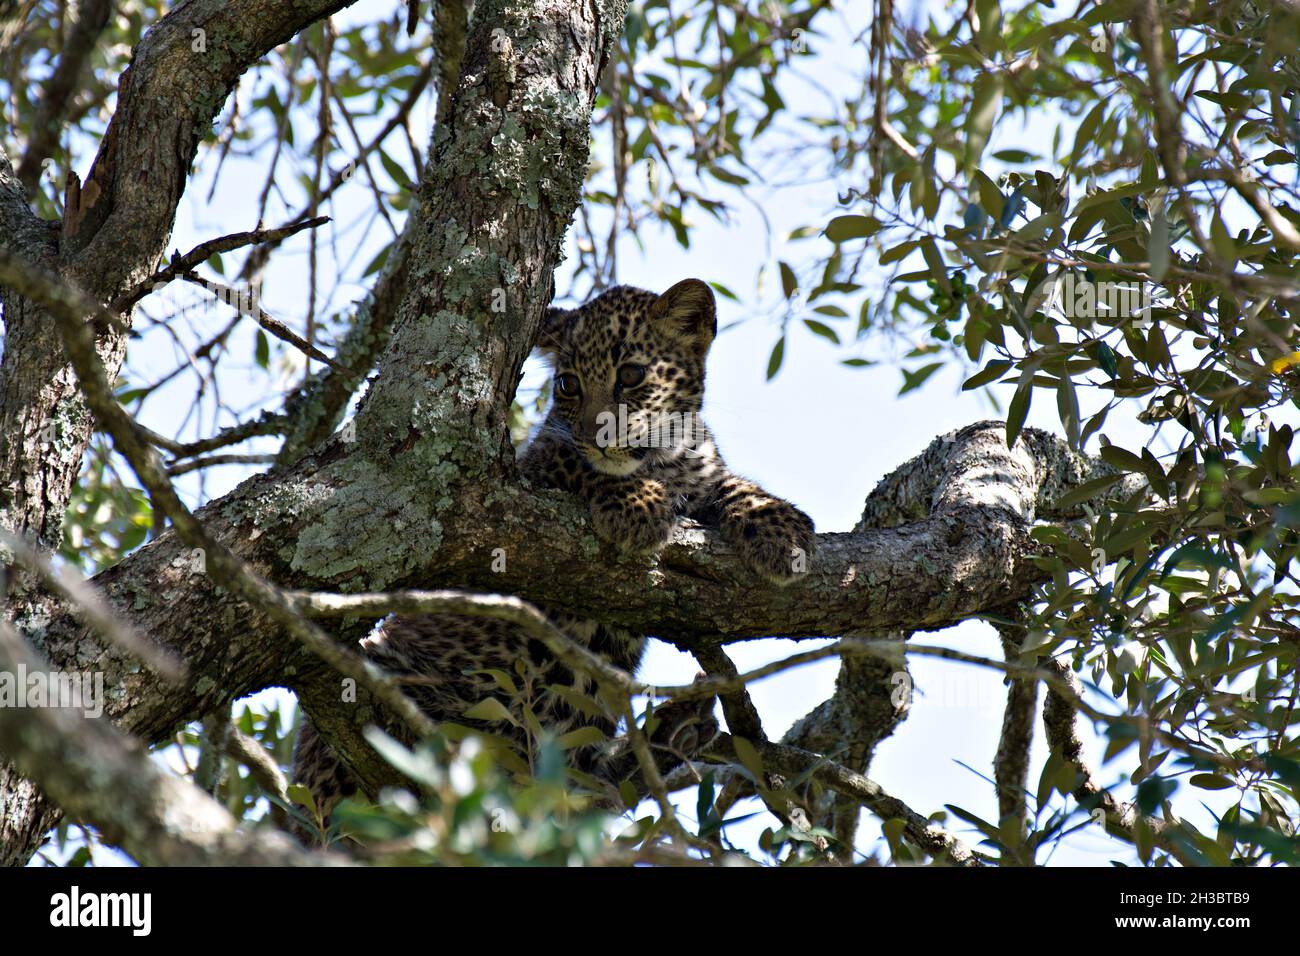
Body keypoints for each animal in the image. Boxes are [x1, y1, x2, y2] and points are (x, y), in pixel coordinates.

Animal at [290, 278, 816, 840]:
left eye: (631, 375)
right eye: (567, 385)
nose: (597, 433)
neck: (664, 459)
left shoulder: (702, 475)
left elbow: (736, 487)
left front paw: (783, 533)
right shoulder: (532, 469)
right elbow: (580, 464)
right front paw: (637, 505)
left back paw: (677, 730)